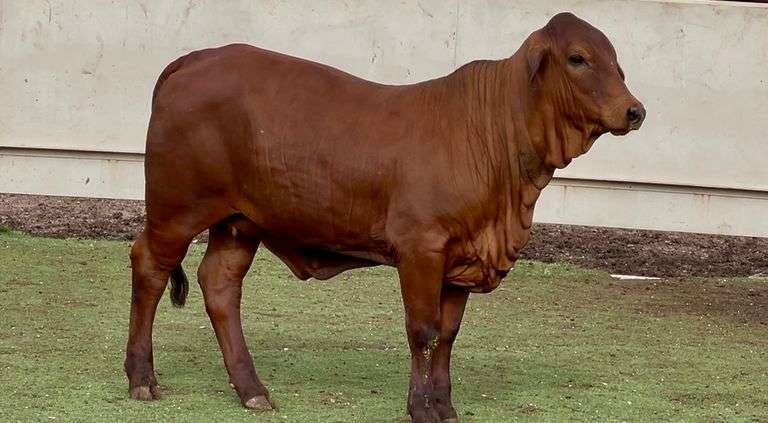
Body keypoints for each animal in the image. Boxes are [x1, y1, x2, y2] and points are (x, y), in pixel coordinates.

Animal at [125, 12, 644, 422]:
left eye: (616, 60)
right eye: (578, 58)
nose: (634, 110)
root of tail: (196, 59)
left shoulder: (462, 257)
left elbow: (448, 335)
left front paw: (445, 407)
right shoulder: (422, 249)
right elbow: (422, 331)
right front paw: (421, 408)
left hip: (238, 223)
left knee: (220, 285)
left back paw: (252, 390)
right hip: (175, 210)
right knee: (149, 267)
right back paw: (141, 378)